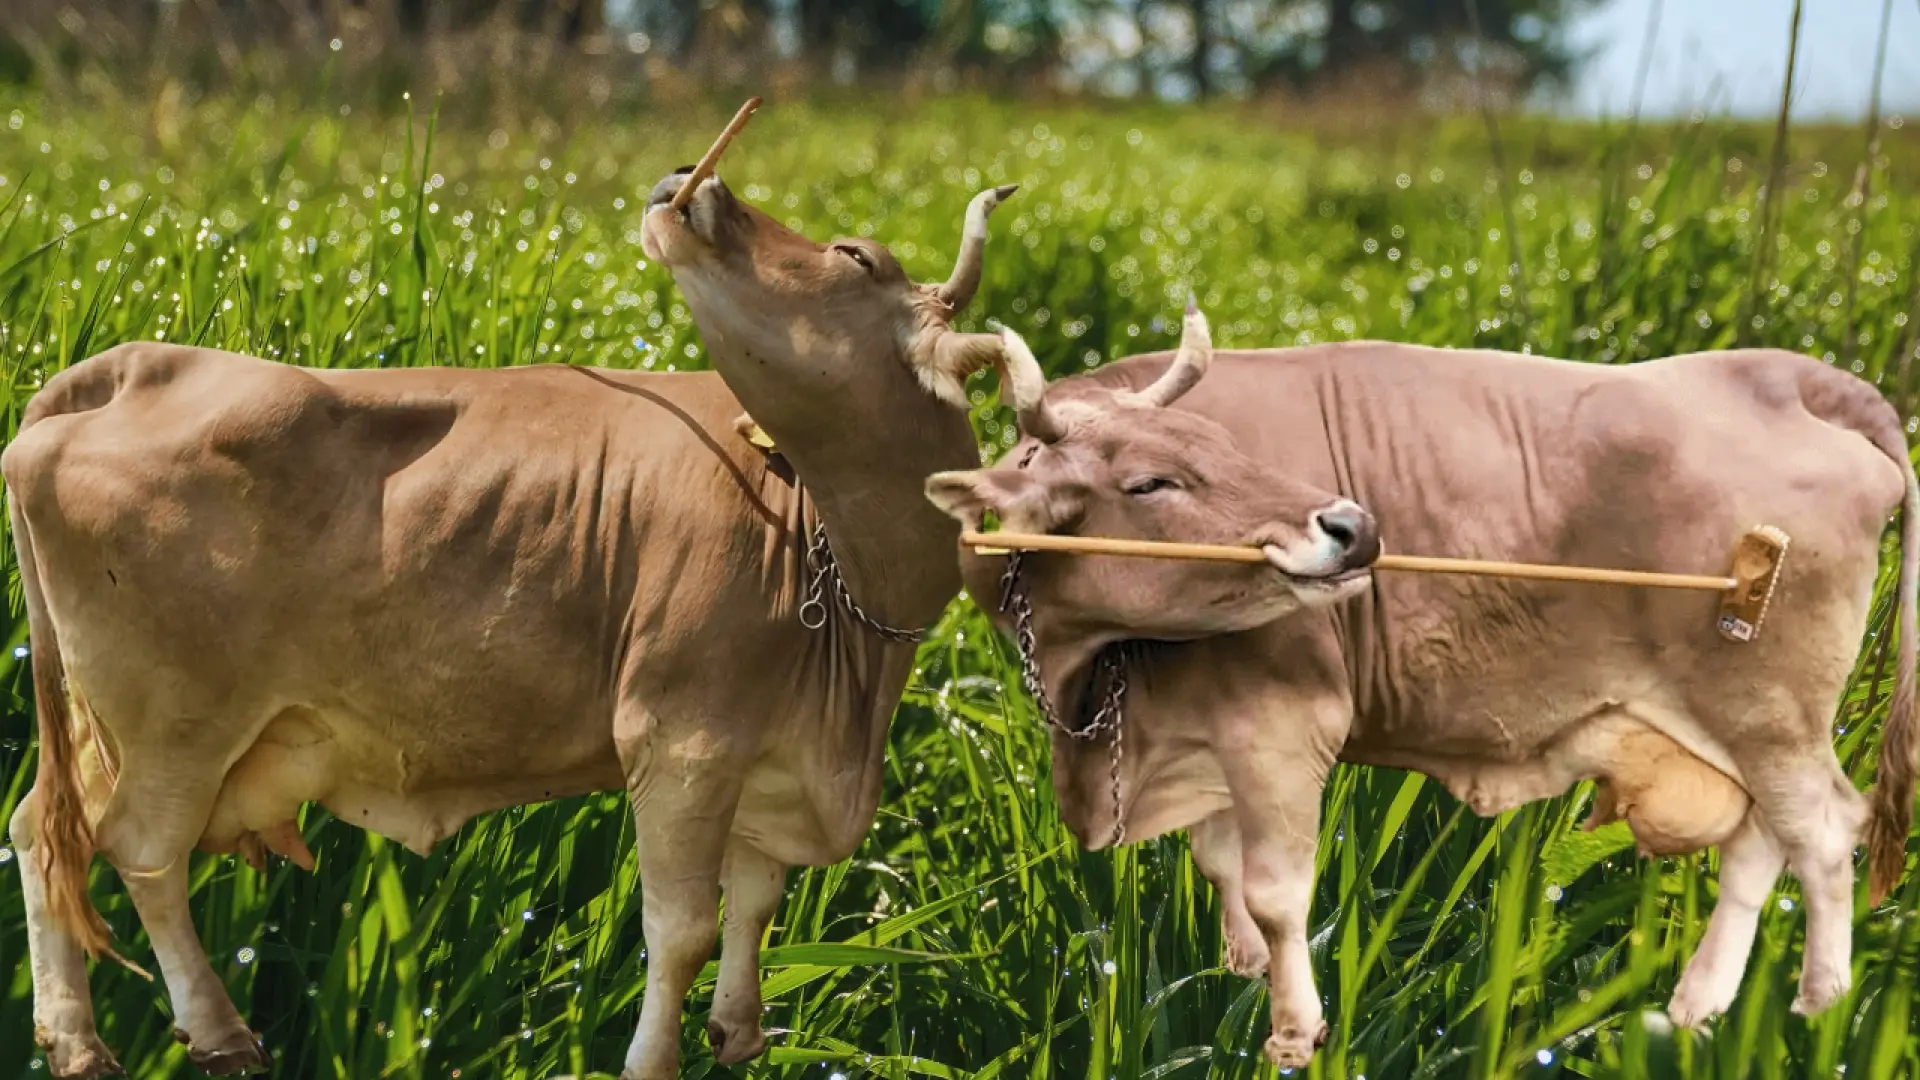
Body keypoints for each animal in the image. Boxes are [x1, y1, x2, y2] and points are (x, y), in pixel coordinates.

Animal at [4, 168, 1020, 1080]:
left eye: (852, 256)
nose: (689, 185)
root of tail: (131, 365)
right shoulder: (682, 738)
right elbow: (681, 929)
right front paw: (653, 1062)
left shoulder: (769, 757)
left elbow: (756, 899)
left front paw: (738, 1034)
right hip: (174, 725)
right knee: (141, 854)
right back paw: (216, 1034)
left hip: (108, 729)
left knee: (40, 835)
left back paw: (76, 1043)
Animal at [927, 323, 1917, 1069]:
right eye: (1149, 481)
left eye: (1228, 447)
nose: (1353, 524)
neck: (1095, 683)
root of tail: (1790, 373)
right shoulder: (1204, 740)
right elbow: (1221, 869)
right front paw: (1238, 975)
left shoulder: (1282, 727)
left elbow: (1278, 891)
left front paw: (1294, 1034)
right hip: (1746, 732)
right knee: (1761, 844)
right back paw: (1699, 1008)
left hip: (1771, 716)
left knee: (1825, 833)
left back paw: (1820, 1007)